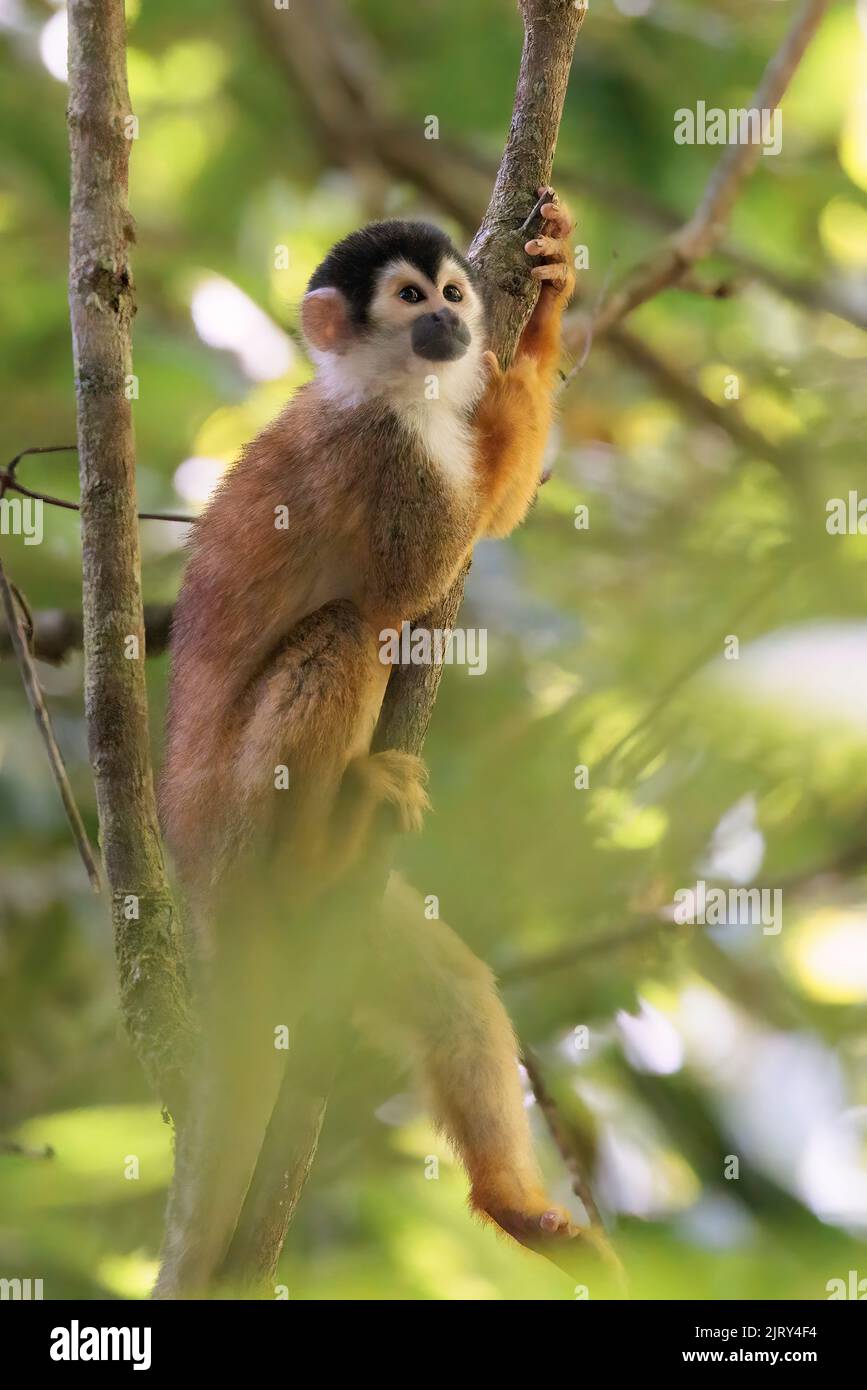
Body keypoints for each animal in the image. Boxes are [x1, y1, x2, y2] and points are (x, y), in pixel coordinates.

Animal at [155, 192, 581, 1298]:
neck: (395, 391)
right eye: (408, 298)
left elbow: (489, 523)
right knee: (345, 629)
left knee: (450, 991)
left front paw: (548, 300)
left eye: (454, 293)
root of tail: (200, 892)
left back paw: (514, 1205)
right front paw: (511, 385)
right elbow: (421, 571)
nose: (454, 326)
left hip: (350, 935)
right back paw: (320, 842)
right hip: (237, 831)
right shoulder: (377, 451)